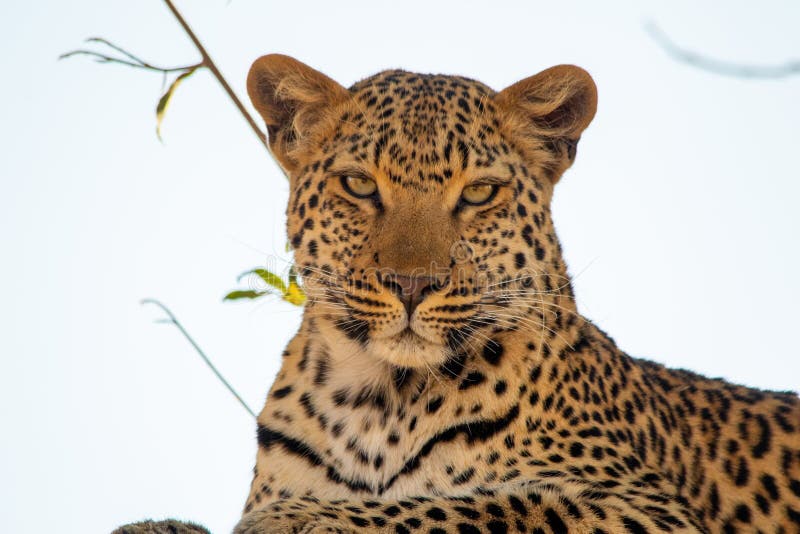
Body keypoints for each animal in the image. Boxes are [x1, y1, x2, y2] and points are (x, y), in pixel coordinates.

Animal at [116, 55, 800, 534]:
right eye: (359, 185)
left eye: (478, 193)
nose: (412, 283)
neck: (378, 401)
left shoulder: (640, 505)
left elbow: (472, 506)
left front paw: (300, 520)